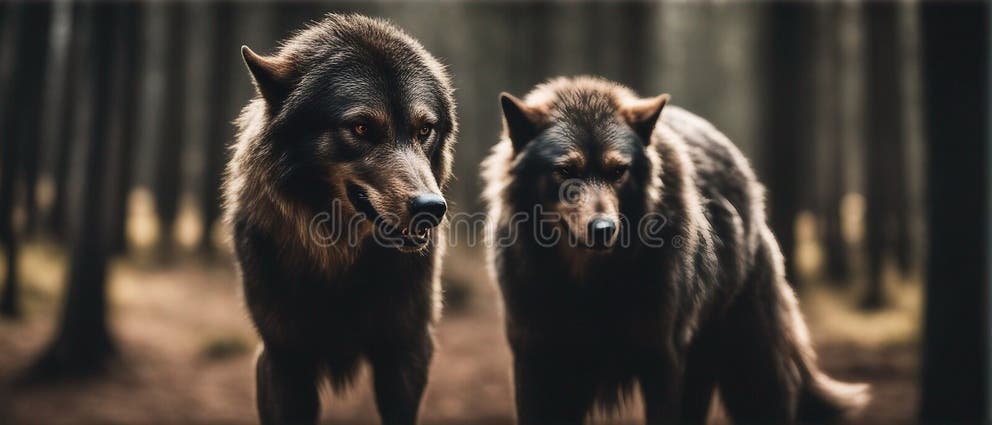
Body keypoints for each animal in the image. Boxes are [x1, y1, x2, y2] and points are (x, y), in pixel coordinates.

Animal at [223, 14, 456, 425]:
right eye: (362, 127)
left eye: (424, 129)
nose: (430, 208)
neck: (339, 263)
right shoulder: (283, 358)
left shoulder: (406, 351)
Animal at [482, 76, 868, 425]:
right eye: (565, 171)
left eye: (618, 171)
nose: (603, 229)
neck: (590, 284)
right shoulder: (536, 364)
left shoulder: (663, 361)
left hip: (742, 370)